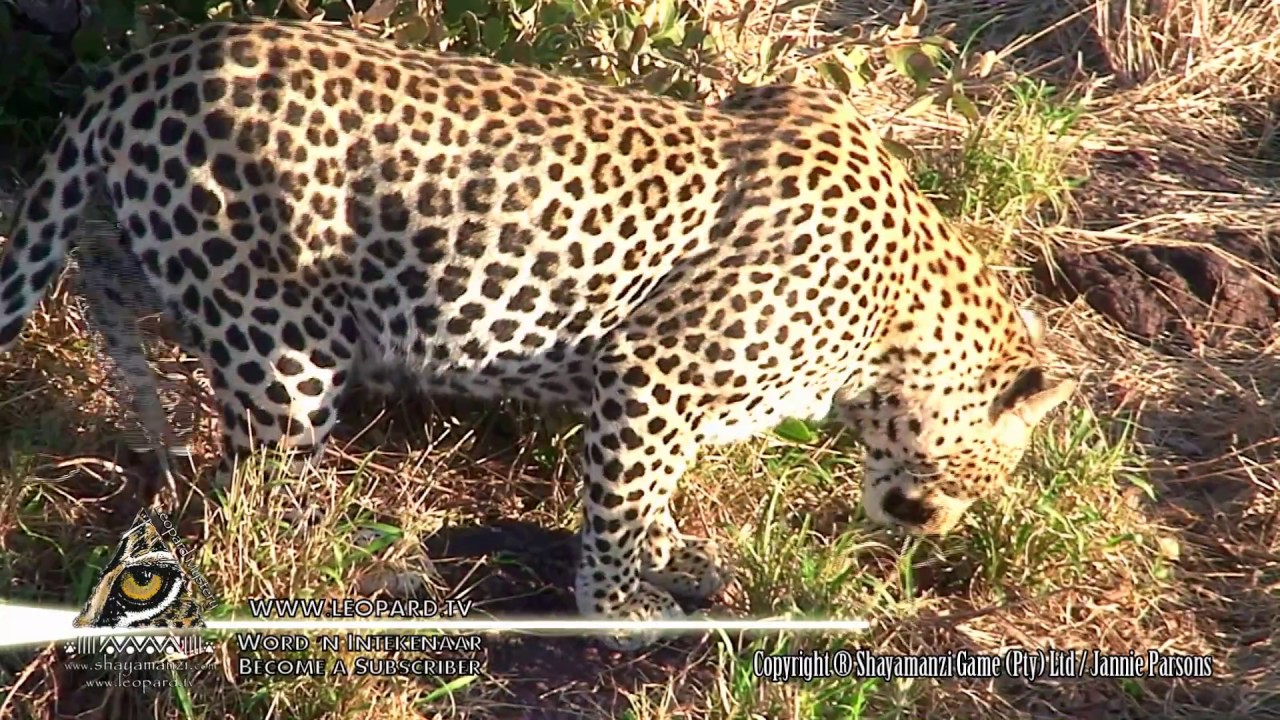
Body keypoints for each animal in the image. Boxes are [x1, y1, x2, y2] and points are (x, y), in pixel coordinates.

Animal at [0, 19, 1077, 650]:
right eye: (987, 473)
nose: (938, 529)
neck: (896, 325)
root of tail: (147, 66)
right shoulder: (653, 372)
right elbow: (621, 501)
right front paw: (621, 607)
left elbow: (660, 490)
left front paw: (675, 554)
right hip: (282, 344)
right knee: (258, 502)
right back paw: (362, 573)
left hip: (154, 256)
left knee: (111, 304)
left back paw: (150, 433)